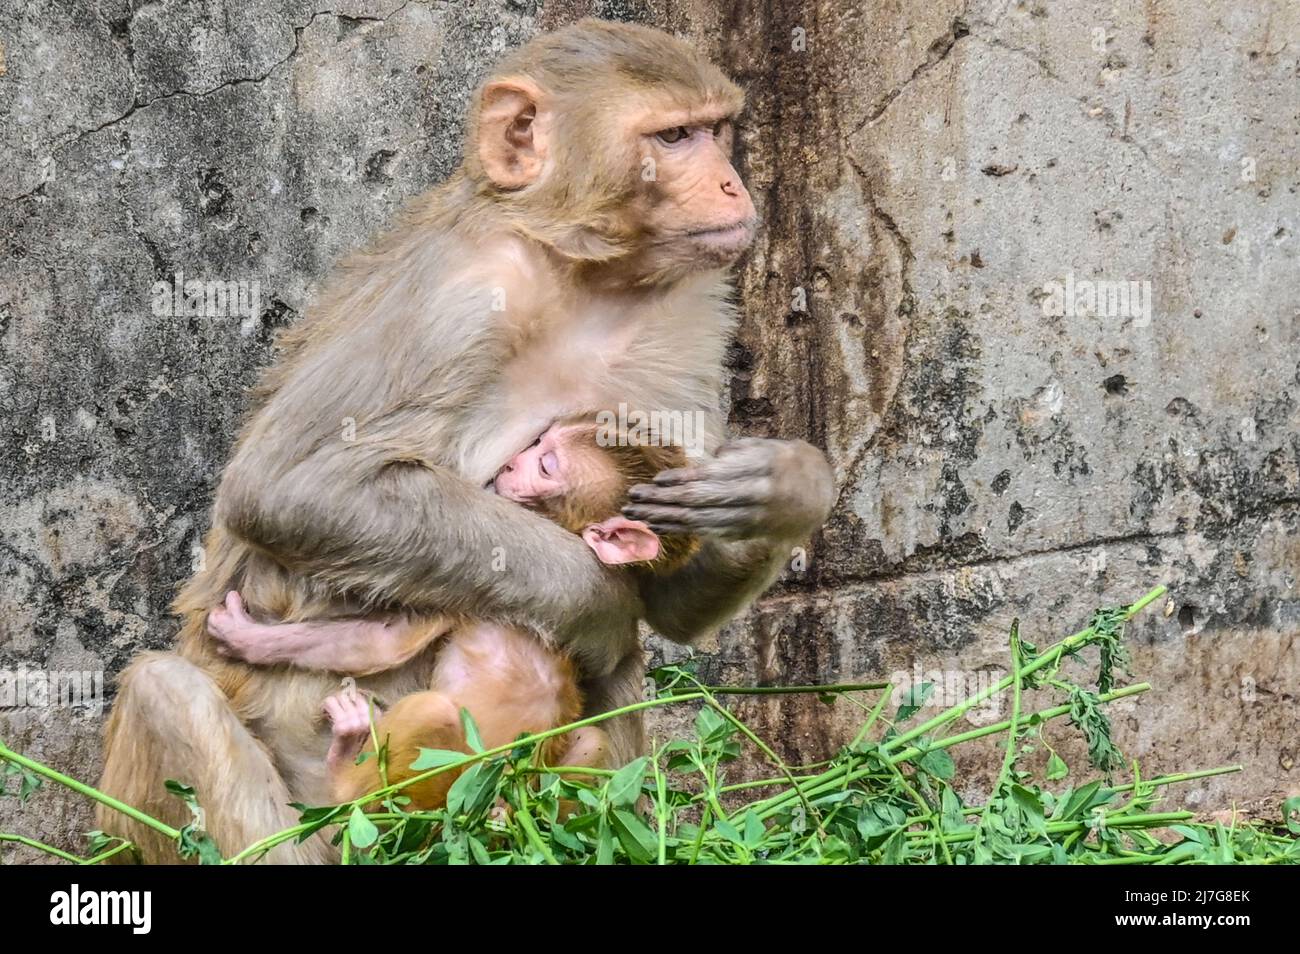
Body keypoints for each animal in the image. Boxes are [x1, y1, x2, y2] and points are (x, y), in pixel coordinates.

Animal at [206, 417, 698, 809]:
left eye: (545, 466)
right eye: (539, 442)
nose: (512, 463)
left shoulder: (487, 592)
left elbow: (381, 643)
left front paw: (246, 637)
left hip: (435, 776)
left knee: (430, 715)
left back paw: (344, 765)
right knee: (589, 739)